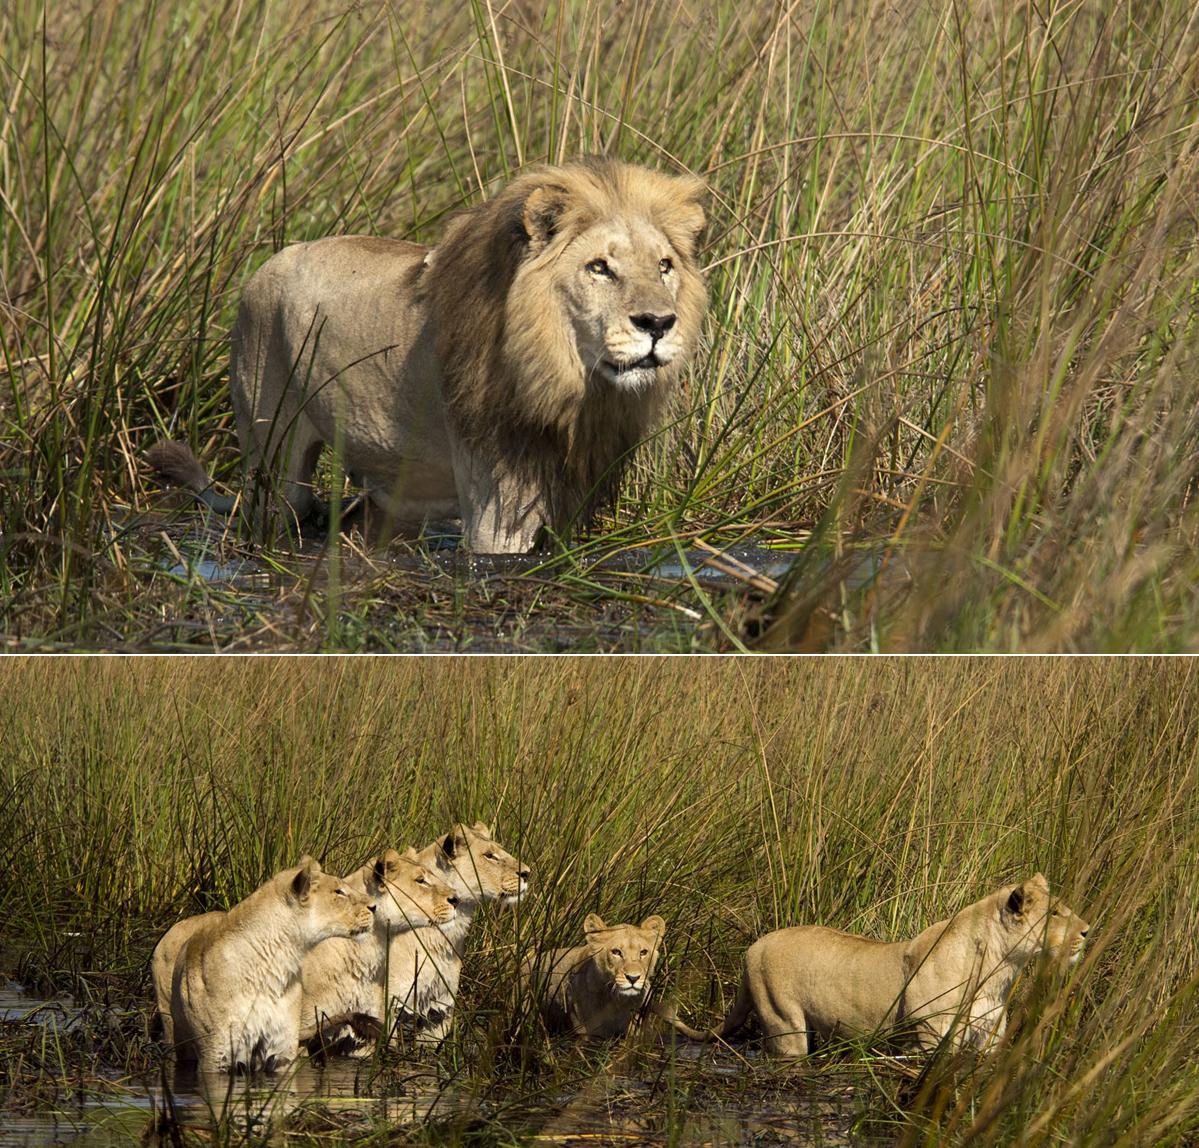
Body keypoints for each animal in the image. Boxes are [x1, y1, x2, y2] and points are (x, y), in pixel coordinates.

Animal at [146, 158, 707, 552]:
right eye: (598, 268)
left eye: (663, 266)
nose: (658, 324)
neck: (569, 386)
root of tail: (263, 266)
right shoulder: (495, 504)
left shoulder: (572, 495)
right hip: (273, 458)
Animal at [669, 874, 1088, 1056]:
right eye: (1055, 913)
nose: (1087, 930)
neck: (999, 970)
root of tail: (752, 948)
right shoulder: (931, 1031)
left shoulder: (989, 1035)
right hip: (783, 1020)